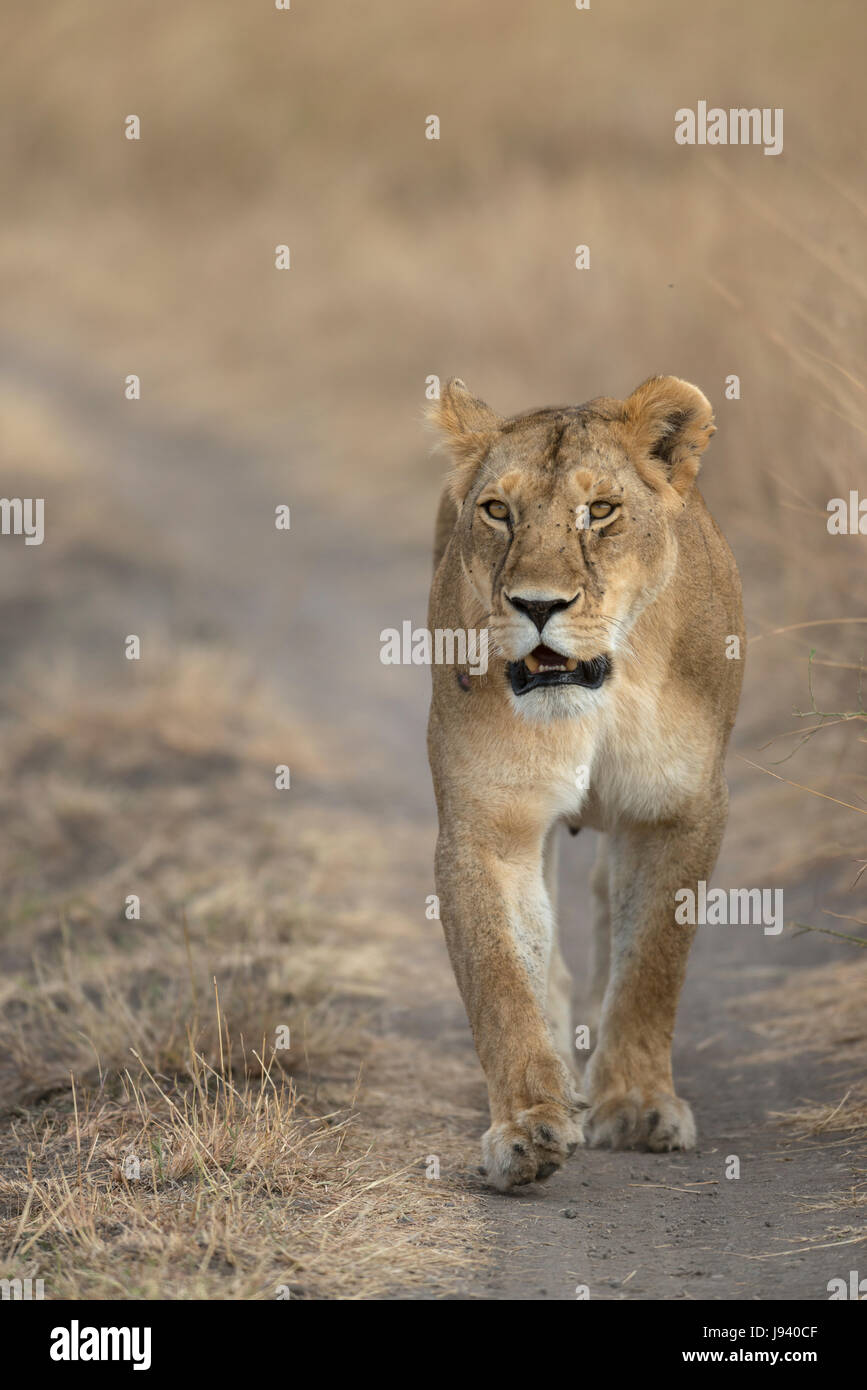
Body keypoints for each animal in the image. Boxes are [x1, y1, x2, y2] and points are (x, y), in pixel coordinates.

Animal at [426, 376, 744, 1191]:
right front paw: (527, 1125)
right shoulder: (488, 823)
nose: (538, 606)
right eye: (497, 511)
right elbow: (503, 978)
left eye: (599, 511)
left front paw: (634, 1106)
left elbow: (650, 964)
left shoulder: (678, 812)